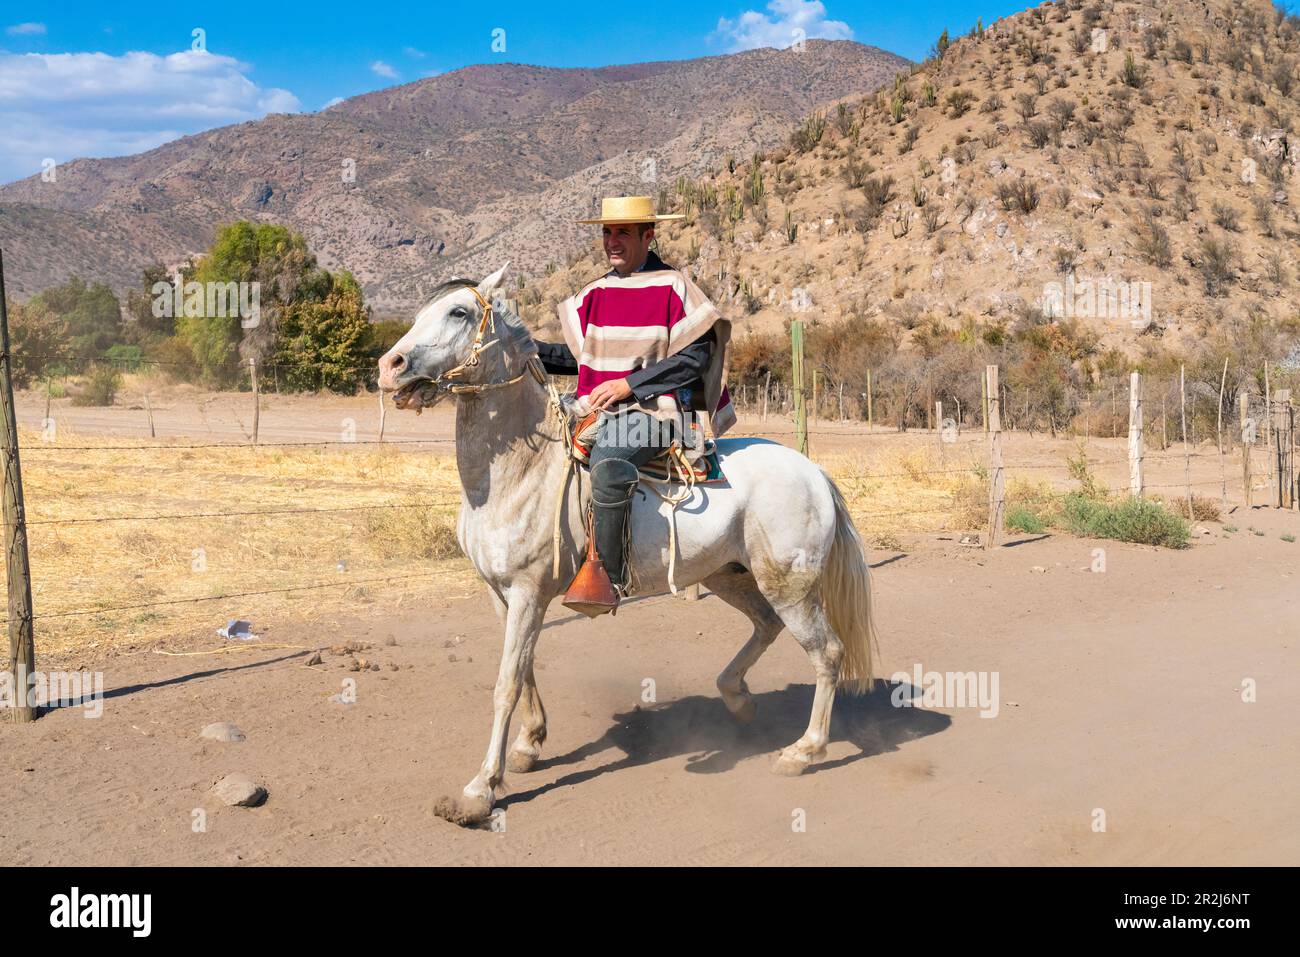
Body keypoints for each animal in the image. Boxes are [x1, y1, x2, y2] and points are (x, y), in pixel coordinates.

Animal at [377, 263, 879, 827]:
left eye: (459, 312)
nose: (390, 366)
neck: (520, 473)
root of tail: (813, 471)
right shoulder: (501, 593)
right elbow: (523, 668)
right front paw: (529, 744)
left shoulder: (528, 591)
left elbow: (505, 683)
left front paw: (480, 789)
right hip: (728, 576)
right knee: (767, 626)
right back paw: (739, 701)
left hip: (789, 585)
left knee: (827, 652)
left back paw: (803, 751)